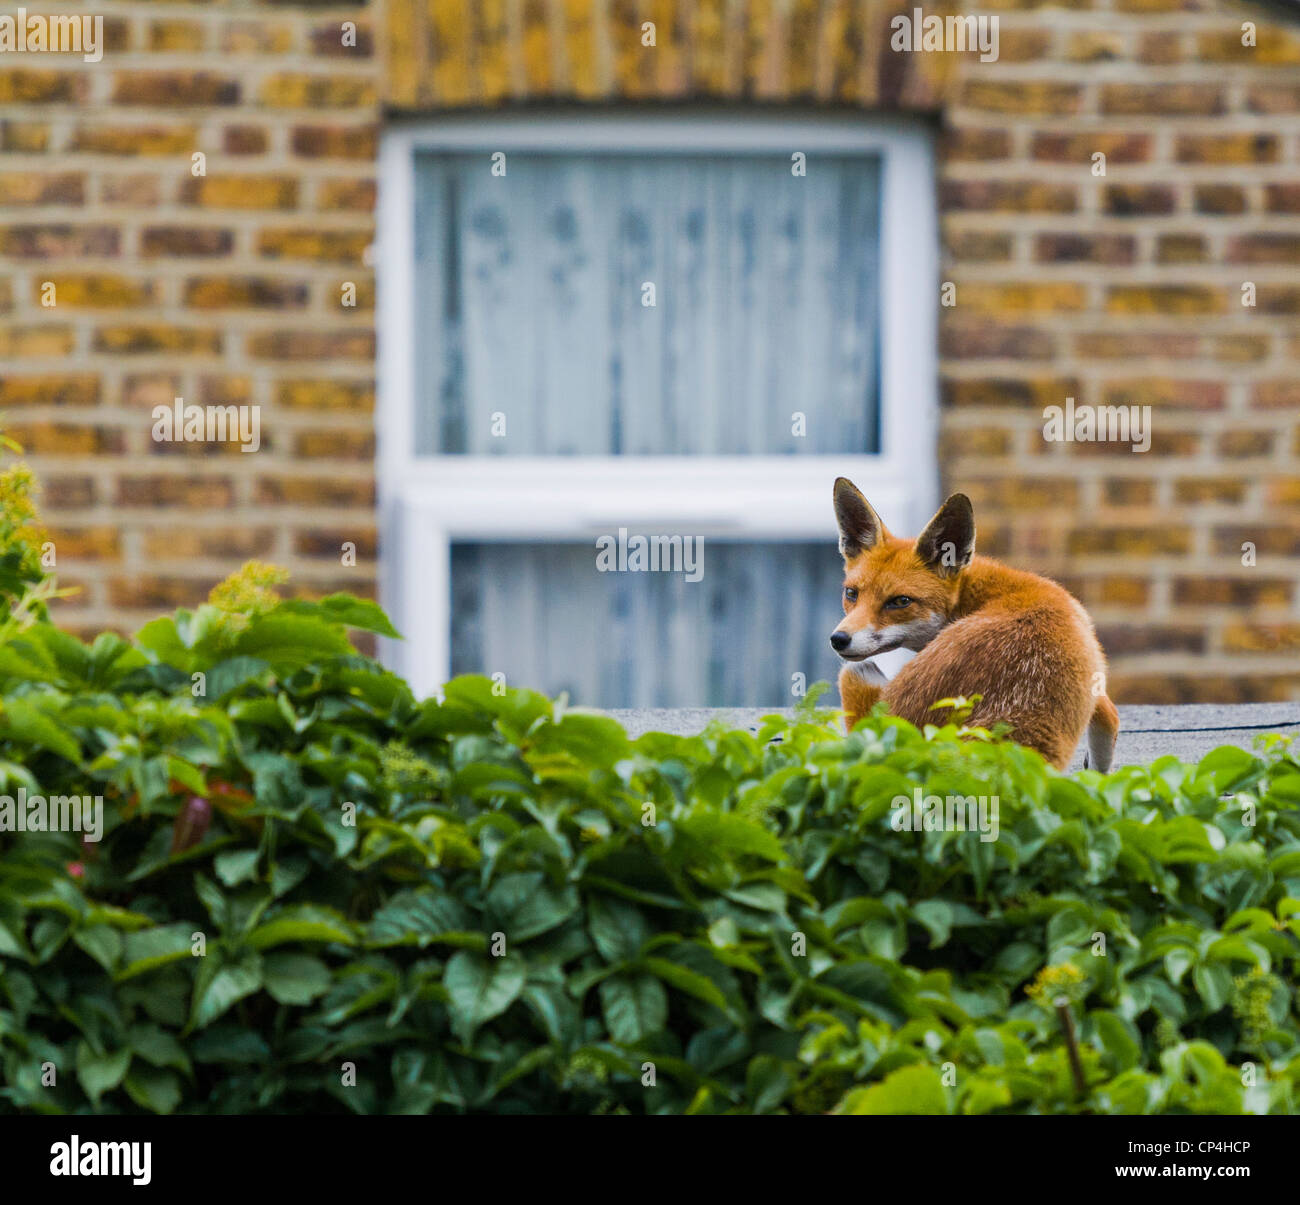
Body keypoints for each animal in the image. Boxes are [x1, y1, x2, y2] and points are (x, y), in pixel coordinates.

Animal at [830, 477, 1118, 772]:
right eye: (851, 594)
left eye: (900, 601)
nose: (839, 638)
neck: (983, 593)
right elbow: (1108, 726)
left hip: (858, 672)